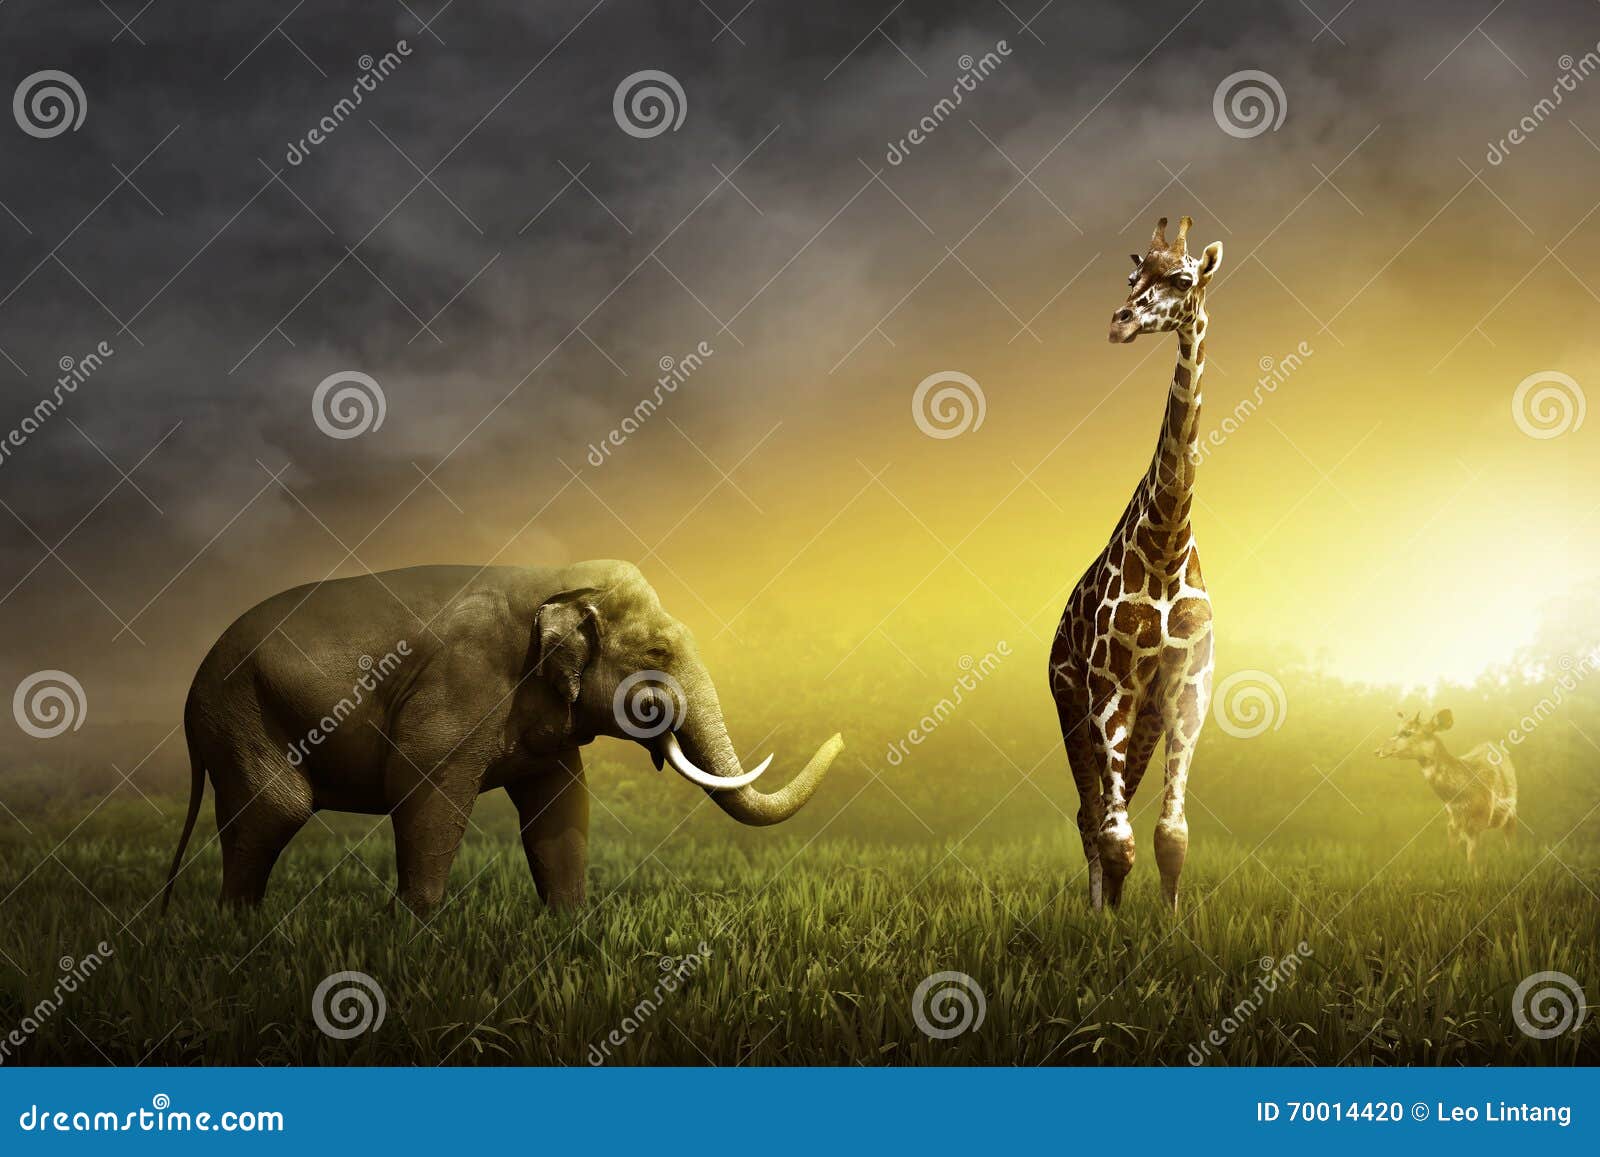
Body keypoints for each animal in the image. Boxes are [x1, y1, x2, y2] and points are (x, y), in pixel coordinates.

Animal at [161, 560, 843, 913]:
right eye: (657, 654)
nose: (839, 736)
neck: (556, 579)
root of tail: (190, 694)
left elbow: (561, 807)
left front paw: (569, 925)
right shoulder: (463, 687)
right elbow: (423, 789)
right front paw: (412, 935)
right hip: (243, 717)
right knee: (276, 809)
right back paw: (241, 928)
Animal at [1048, 215, 1223, 911]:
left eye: (1181, 278)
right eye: (1131, 276)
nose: (1120, 321)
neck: (1167, 542)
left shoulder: (1188, 689)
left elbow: (1172, 833)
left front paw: (1170, 927)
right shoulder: (1109, 687)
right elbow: (1117, 833)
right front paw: (1109, 927)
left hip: (1144, 716)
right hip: (1072, 700)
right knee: (1089, 814)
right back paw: (1099, 910)